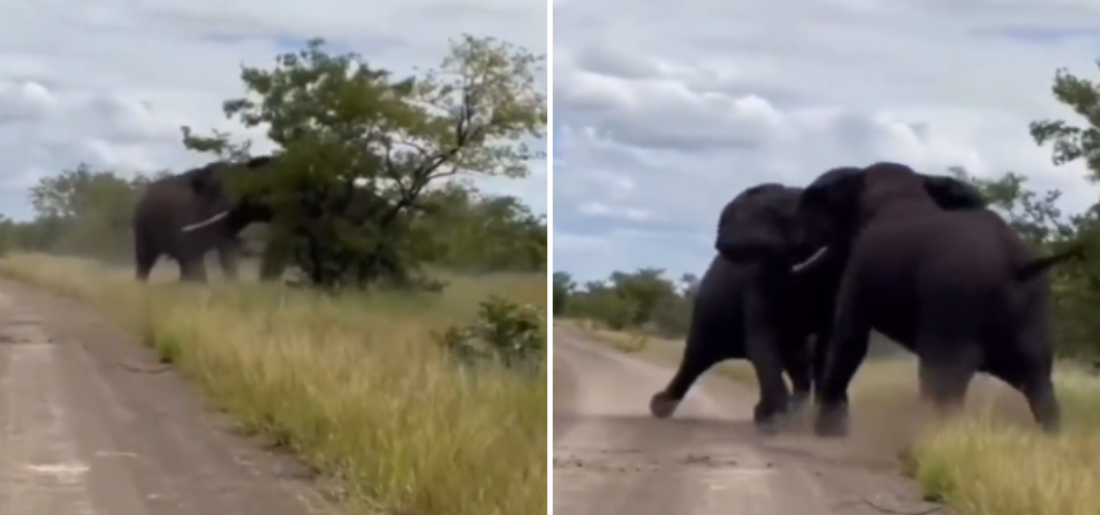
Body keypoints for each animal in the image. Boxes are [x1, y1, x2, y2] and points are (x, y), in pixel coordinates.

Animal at [718, 162, 1081, 437]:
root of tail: (1016, 265)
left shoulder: (860, 267)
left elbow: (849, 338)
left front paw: (828, 432)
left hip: (956, 301)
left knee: (944, 378)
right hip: (1032, 312)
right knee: (1037, 382)